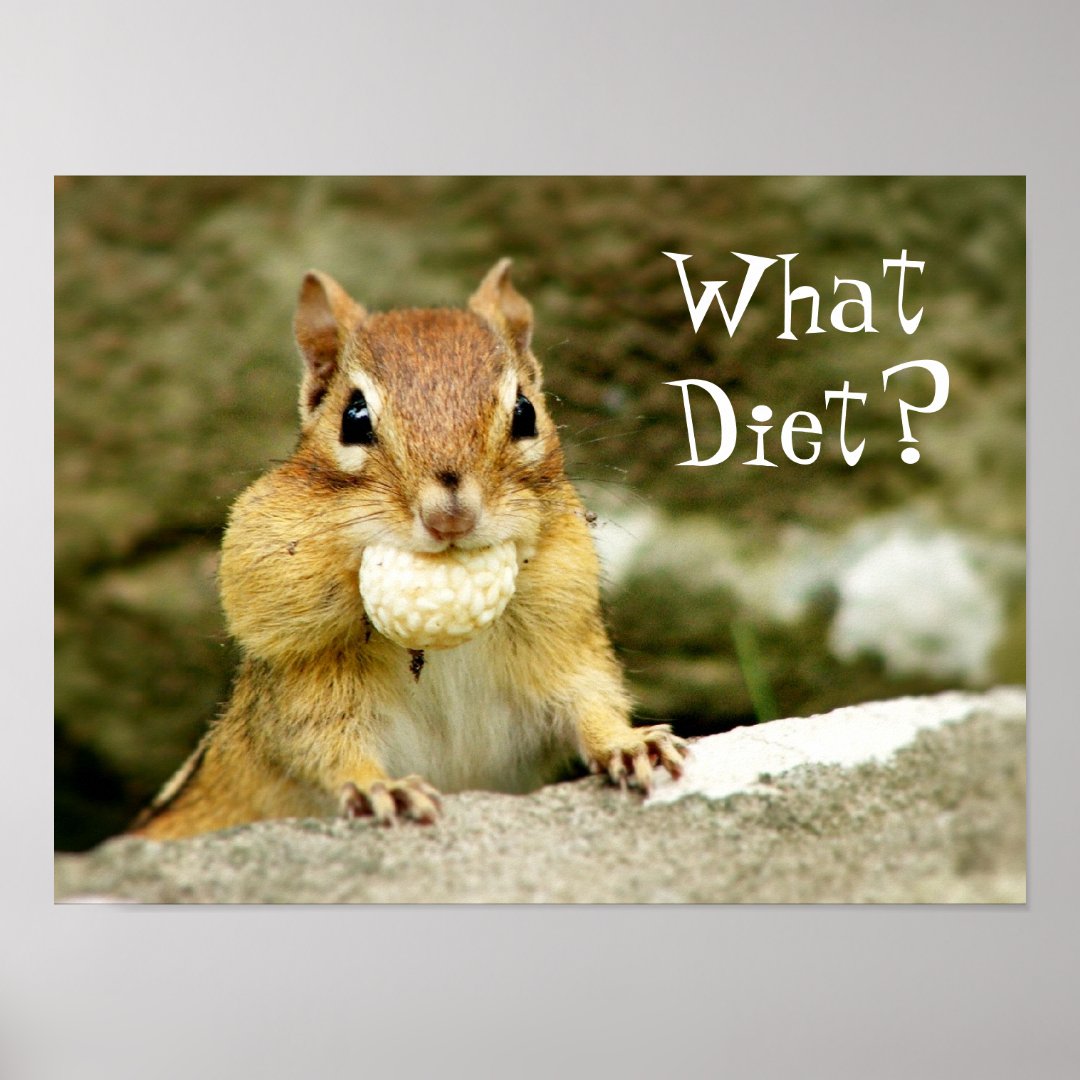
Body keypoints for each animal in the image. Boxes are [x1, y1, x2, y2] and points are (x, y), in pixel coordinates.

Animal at [131, 259, 688, 839]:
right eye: (353, 417)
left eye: (525, 412)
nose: (449, 516)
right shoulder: (304, 679)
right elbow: (323, 745)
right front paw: (382, 789)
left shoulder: (564, 642)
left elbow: (590, 701)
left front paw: (630, 745)